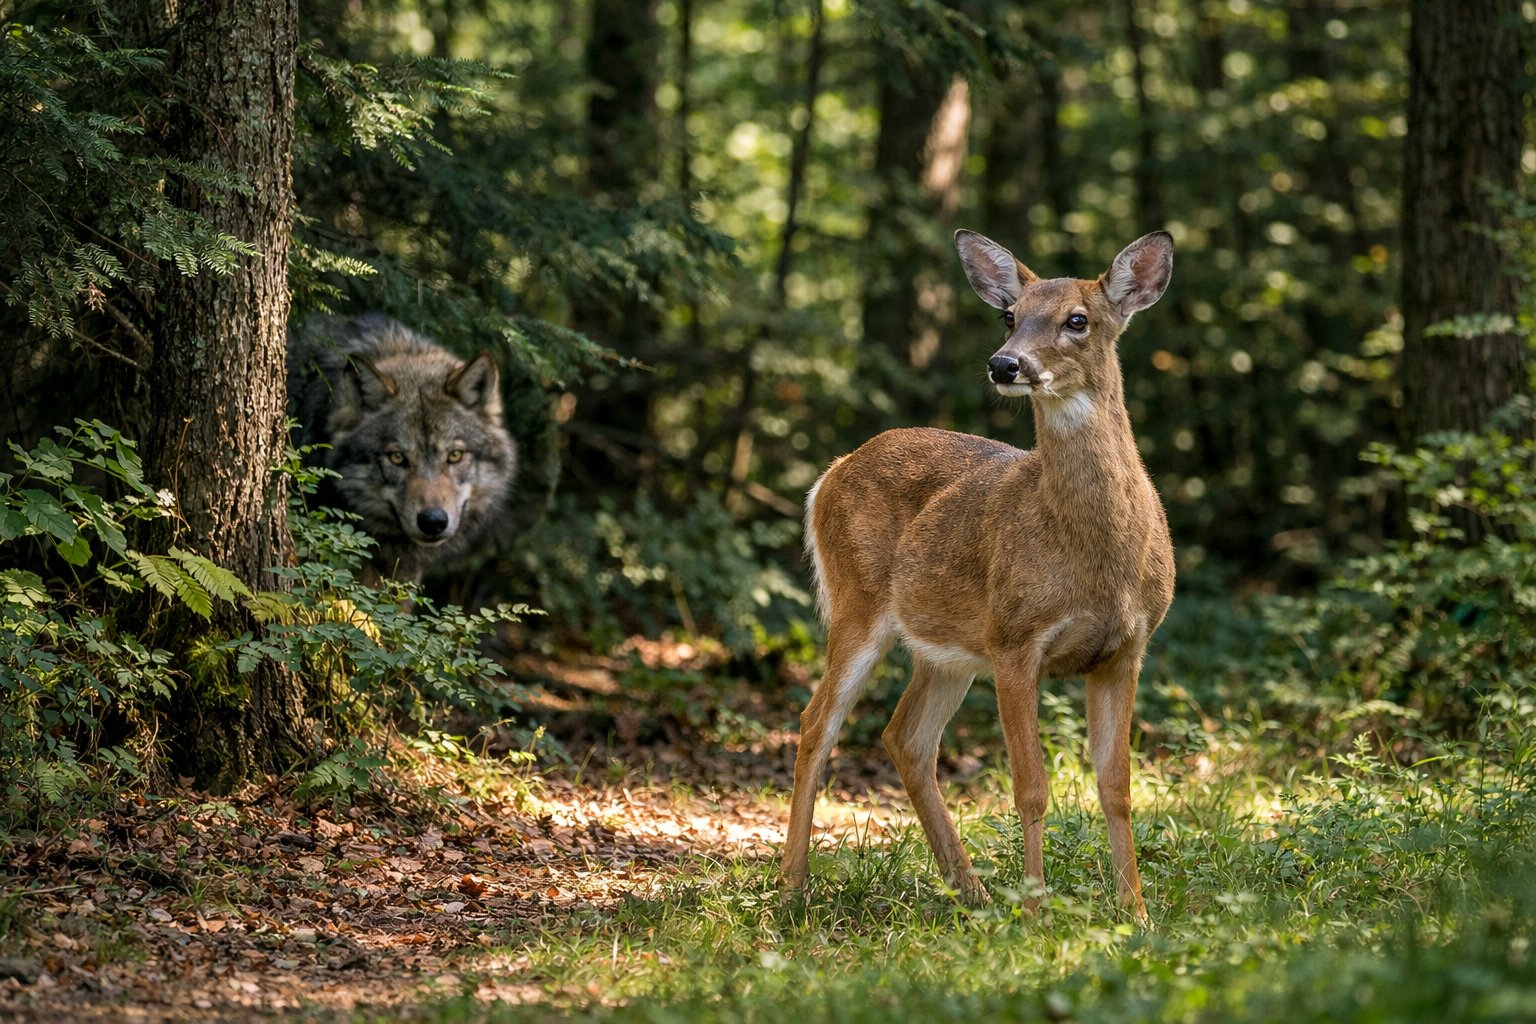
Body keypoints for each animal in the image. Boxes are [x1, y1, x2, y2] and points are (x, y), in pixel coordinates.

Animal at [780, 229, 1176, 921]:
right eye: (1010, 317)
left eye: (1078, 319)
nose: (1004, 364)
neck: (1097, 560)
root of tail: (831, 471)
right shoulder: (1016, 639)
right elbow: (1032, 787)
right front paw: (1038, 913)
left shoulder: (1127, 648)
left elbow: (1118, 786)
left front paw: (1136, 914)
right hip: (859, 605)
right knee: (816, 722)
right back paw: (793, 889)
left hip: (949, 649)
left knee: (905, 736)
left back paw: (972, 890)